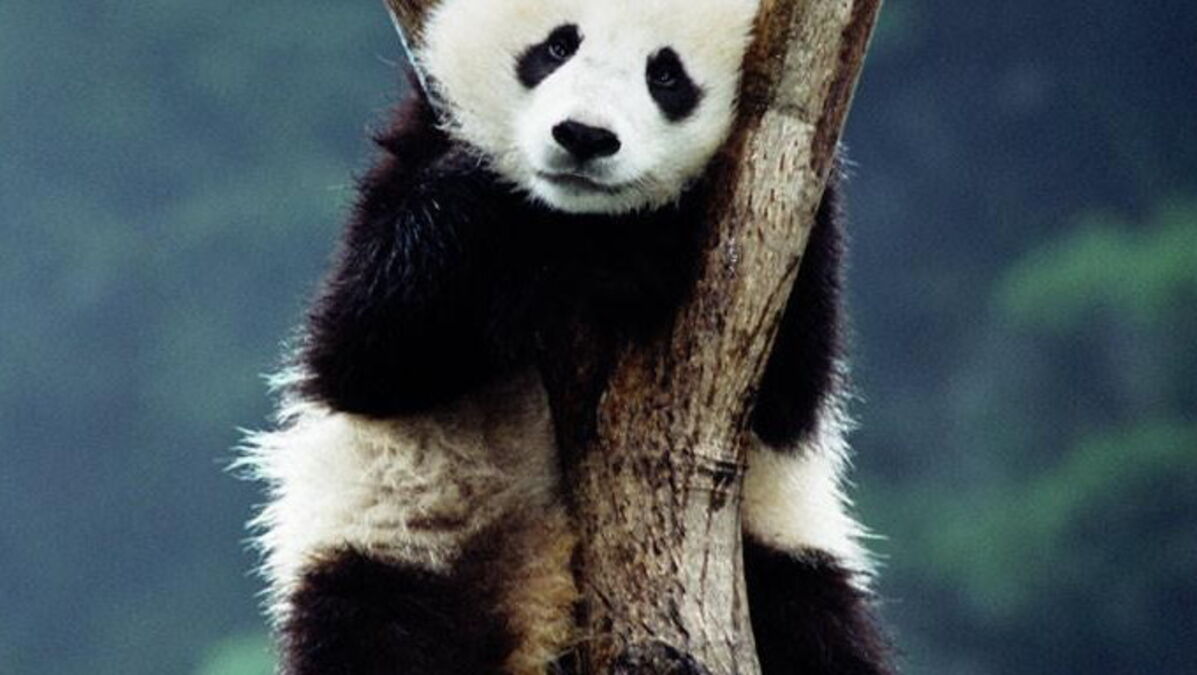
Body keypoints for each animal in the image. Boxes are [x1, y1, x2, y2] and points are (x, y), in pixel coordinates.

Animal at [242, 0, 893, 673]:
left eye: (666, 75)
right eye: (557, 46)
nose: (584, 136)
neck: (577, 219)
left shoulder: (781, 223)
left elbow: (789, 394)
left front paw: (641, 254)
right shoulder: (417, 147)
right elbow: (366, 352)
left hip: (780, 560)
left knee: (814, 630)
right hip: (398, 545)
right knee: (382, 634)